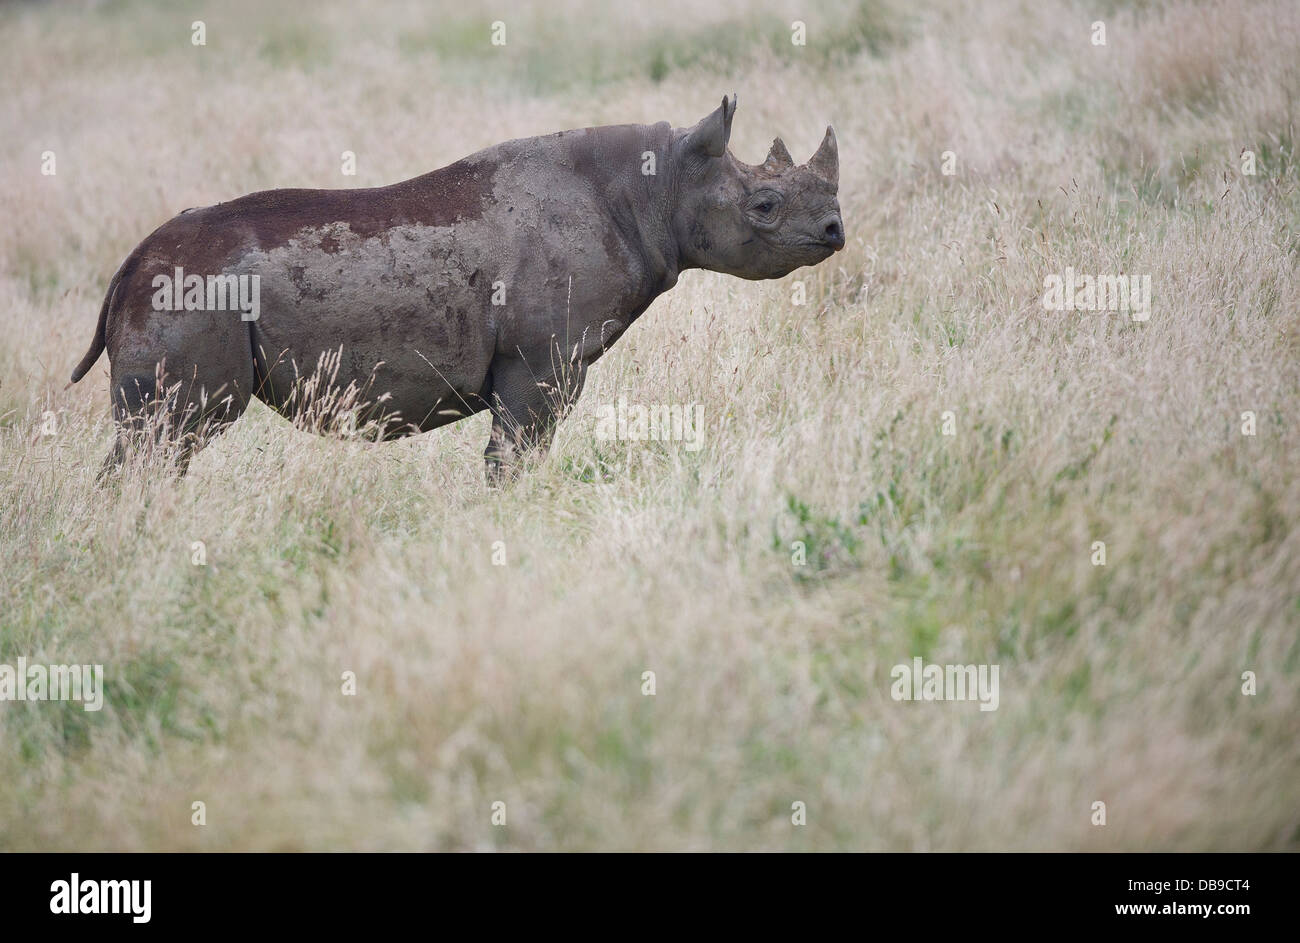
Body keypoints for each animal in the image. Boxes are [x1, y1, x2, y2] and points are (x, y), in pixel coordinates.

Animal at [70, 95, 844, 481]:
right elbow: (516, 455)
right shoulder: (540, 361)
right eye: (765, 206)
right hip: (189, 293)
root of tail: (128, 265)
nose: (837, 230)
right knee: (168, 435)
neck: (657, 186)